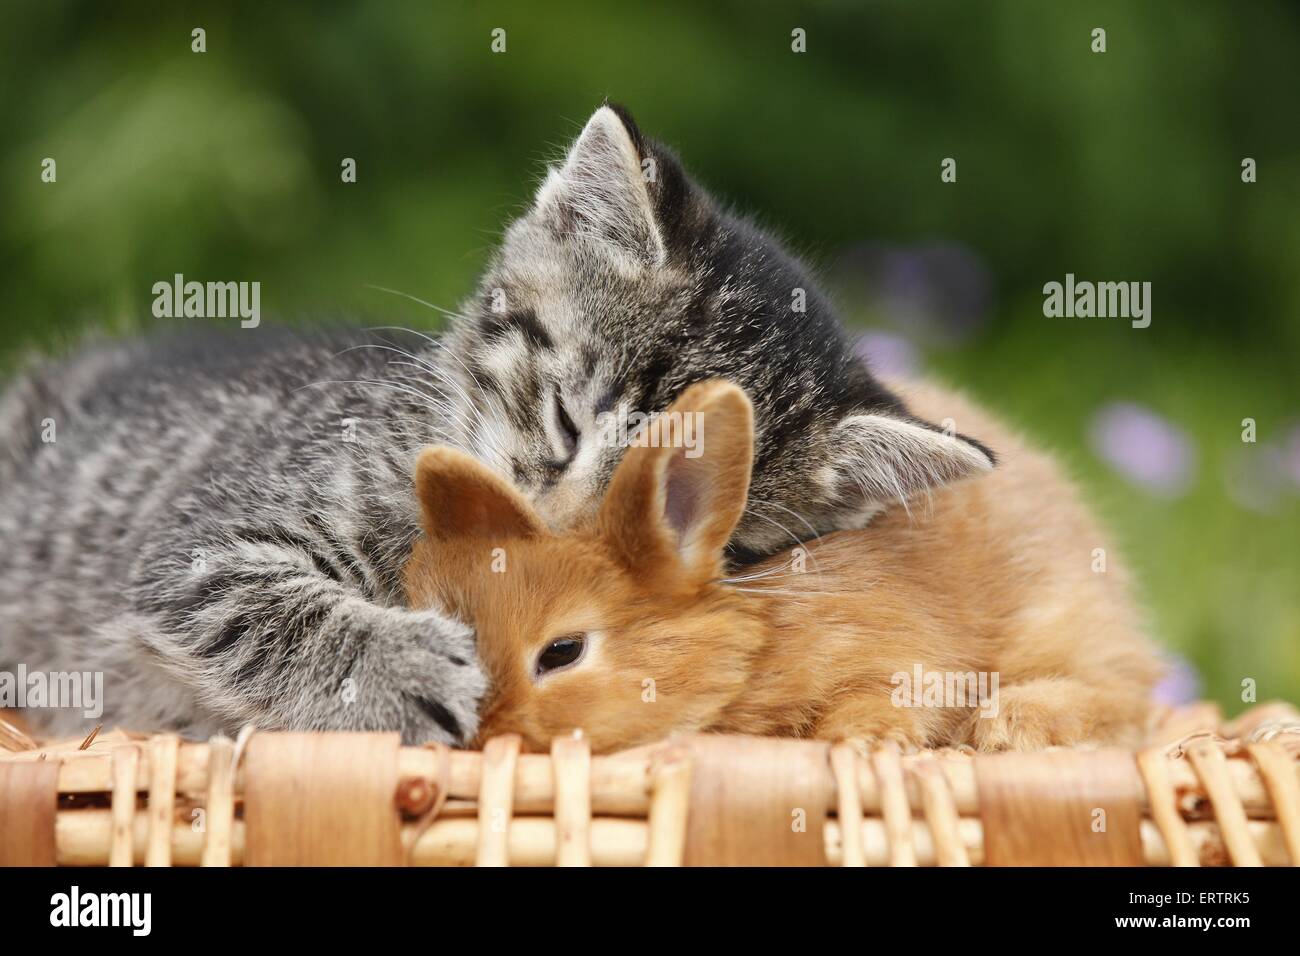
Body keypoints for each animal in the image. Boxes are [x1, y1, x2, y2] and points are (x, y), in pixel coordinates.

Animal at [403, 379, 1161, 754]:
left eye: (562, 653)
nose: (484, 734)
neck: (752, 640)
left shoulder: (900, 649)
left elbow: (896, 691)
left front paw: (866, 741)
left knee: (1125, 696)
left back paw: (1014, 725)